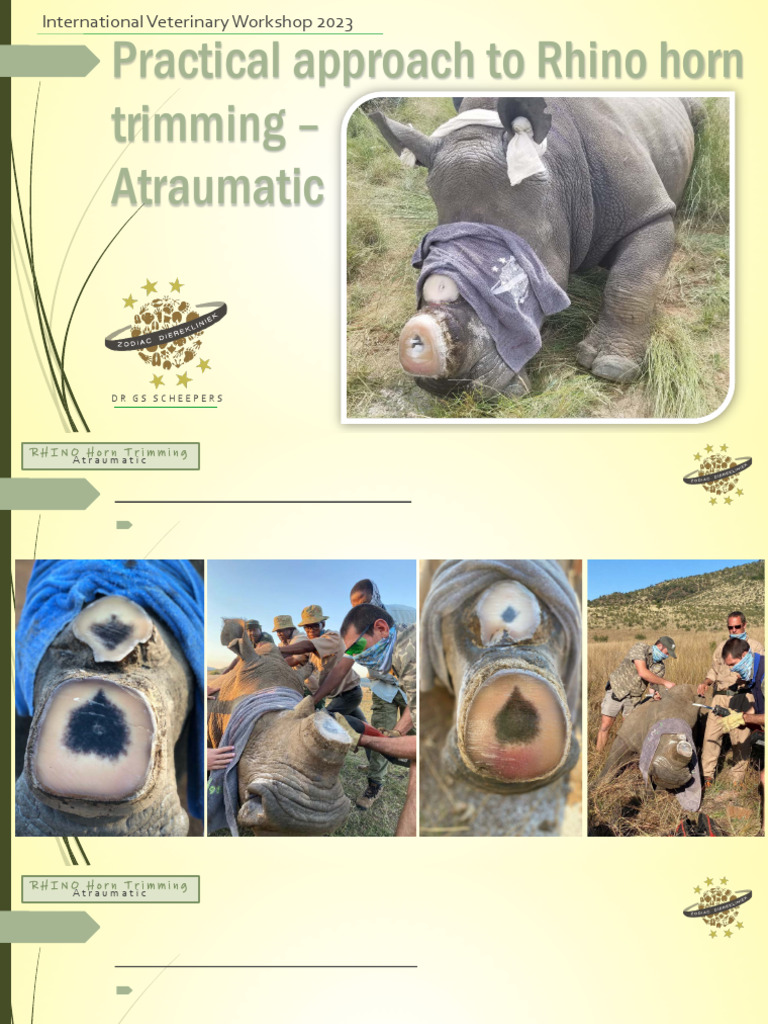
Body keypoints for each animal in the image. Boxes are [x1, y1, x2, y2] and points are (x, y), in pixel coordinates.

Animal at [370, 96, 702, 397]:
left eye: (516, 285)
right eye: (426, 257)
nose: (416, 341)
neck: (559, 171)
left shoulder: (649, 213)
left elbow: (630, 281)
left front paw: (612, 367)